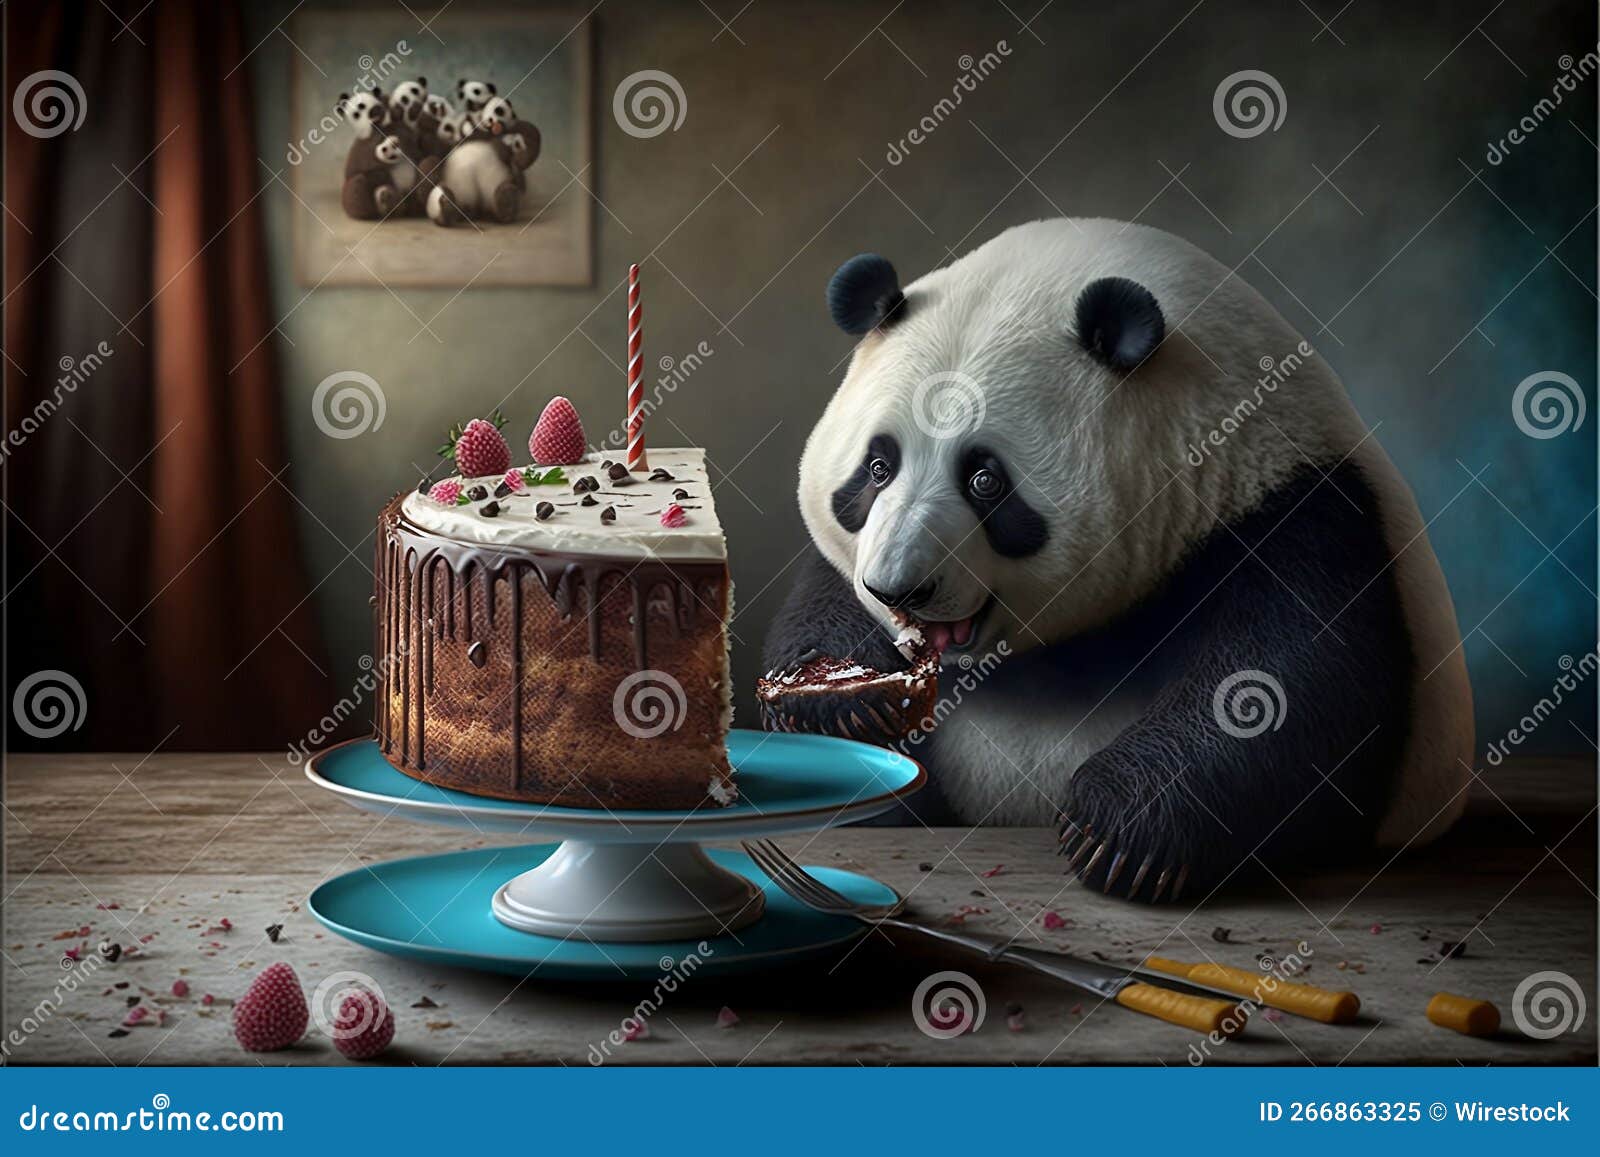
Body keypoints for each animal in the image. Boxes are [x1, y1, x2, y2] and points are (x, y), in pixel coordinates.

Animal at [762, 217, 1475, 903]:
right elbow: (824, 592)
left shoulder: (1296, 508)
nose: (900, 588)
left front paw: (1117, 828)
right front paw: (837, 701)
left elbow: (1287, 683)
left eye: (985, 480)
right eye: (877, 467)